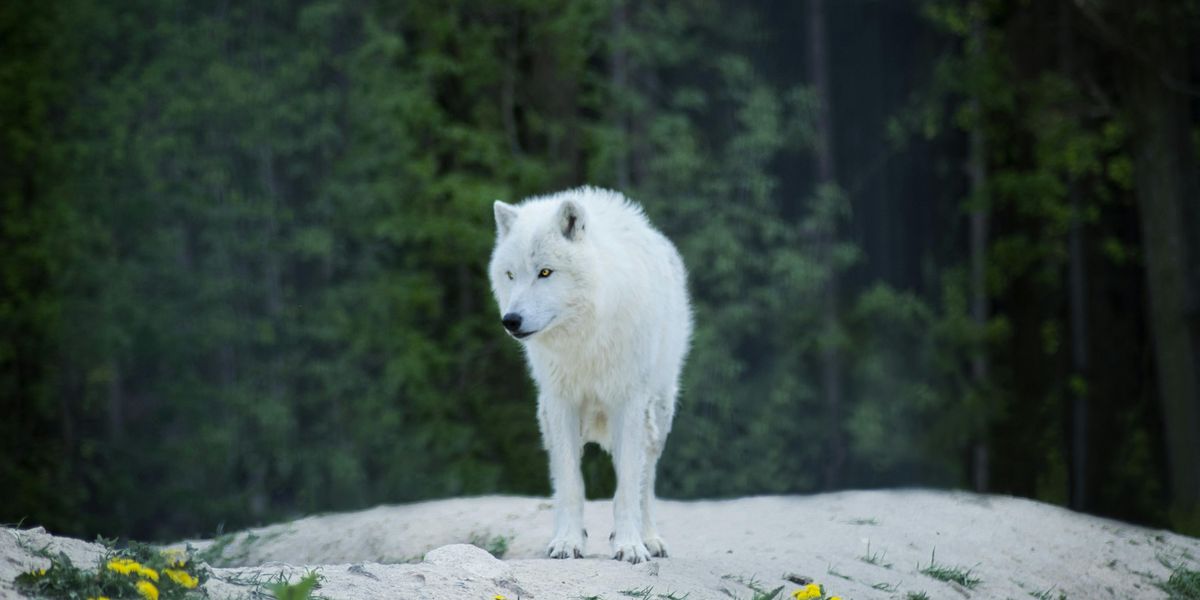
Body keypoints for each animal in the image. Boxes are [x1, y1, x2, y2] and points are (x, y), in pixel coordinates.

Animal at [488, 187, 692, 564]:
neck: (583, 338)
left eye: (545, 272)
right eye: (510, 275)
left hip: (657, 415)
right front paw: (568, 542)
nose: (510, 320)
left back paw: (650, 539)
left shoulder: (628, 402)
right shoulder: (561, 403)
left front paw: (629, 545)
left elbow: (627, 486)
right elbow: (571, 484)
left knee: (646, 481)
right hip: (547, 418)